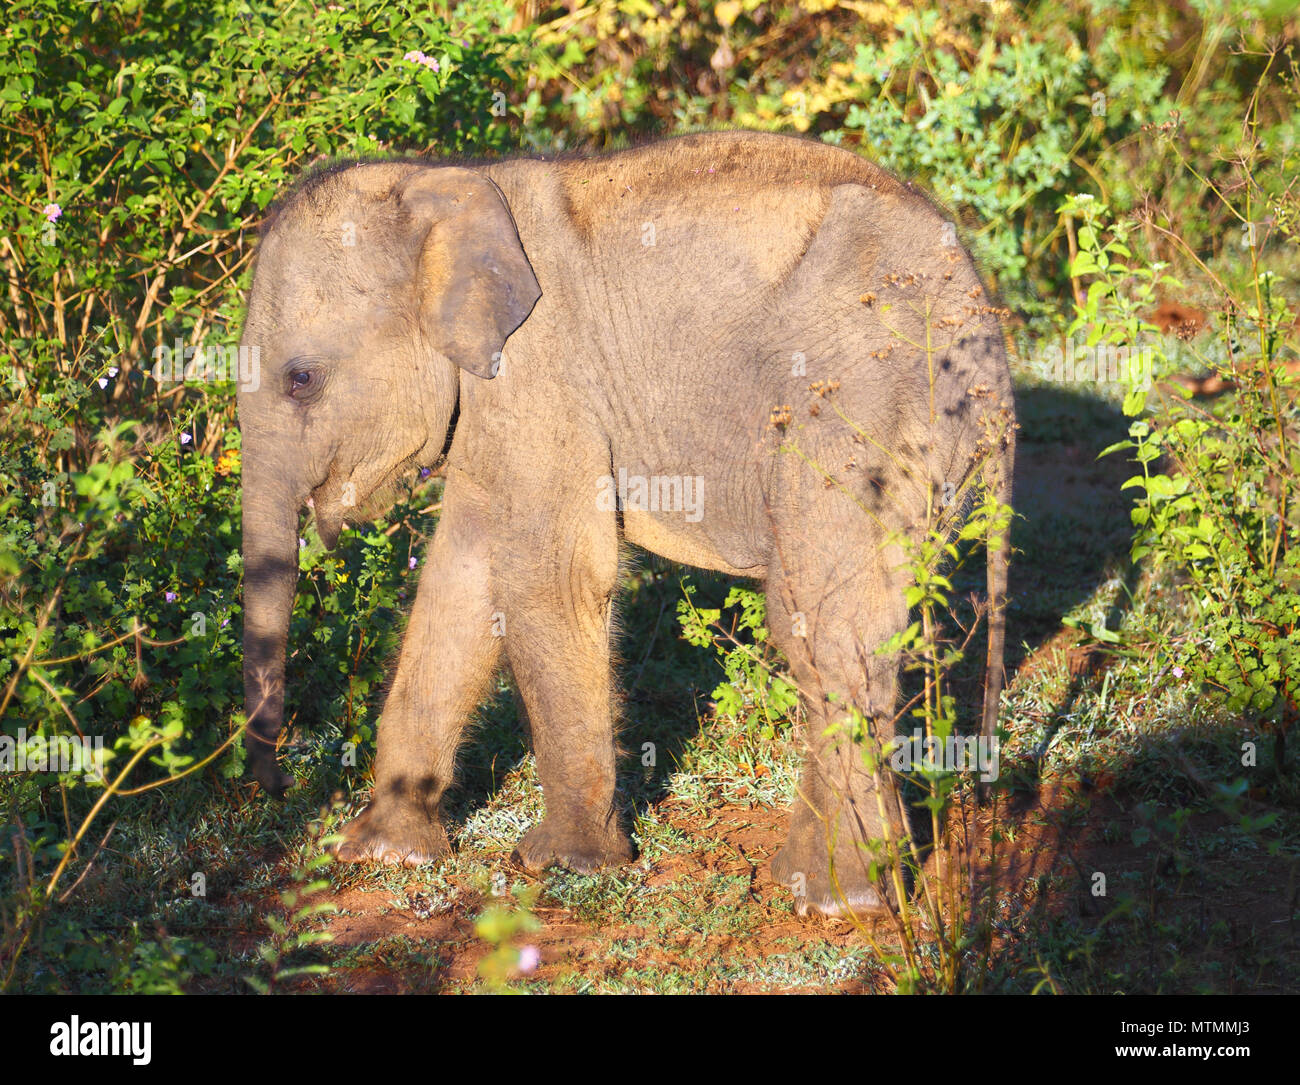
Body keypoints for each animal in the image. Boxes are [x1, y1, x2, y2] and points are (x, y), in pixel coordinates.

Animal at [237, 130, 1015, 918]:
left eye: (301, 380)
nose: (276, 786)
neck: (442, 183)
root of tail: (988, 334)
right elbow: (461, 579)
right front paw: (382, 851)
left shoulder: (543, 375)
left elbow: (552, 578)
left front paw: (568, 864)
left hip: (859, 408)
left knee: (822, 622)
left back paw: (828, 898)